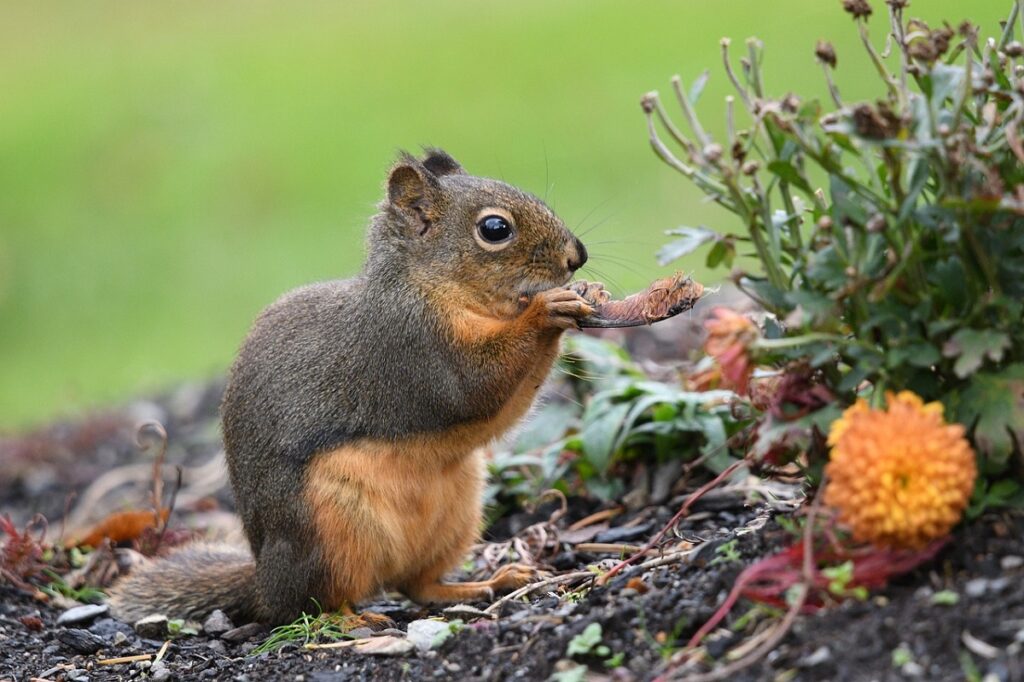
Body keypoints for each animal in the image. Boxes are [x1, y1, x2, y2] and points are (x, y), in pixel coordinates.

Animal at [108, 148, 599, 625]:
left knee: (417, 585)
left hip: (458, 511)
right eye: (495, 229)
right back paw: (349, 620)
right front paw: (544, 310)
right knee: (309, 604)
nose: (577, 256)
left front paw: (585, 294)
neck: (435, 286)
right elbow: (475, 385)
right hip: (330, 529)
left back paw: (487, 583)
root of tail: (264, 582)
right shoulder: (415, 347)